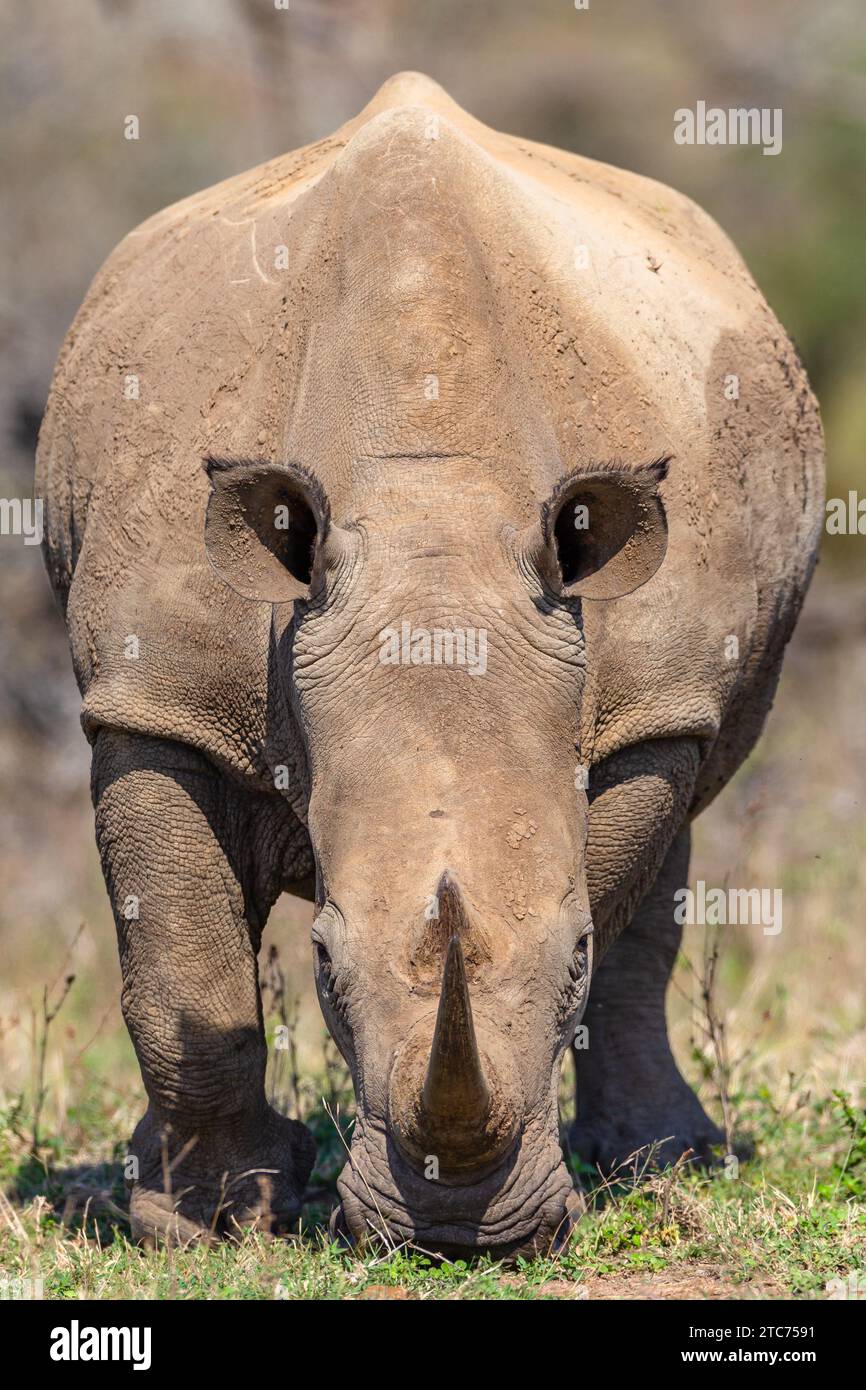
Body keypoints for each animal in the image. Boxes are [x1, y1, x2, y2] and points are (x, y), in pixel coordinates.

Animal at [37, 72, 823, 1257]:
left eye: (571, 952)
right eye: (322, 960)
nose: (458, 1230)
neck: (431, 499)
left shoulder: (640, 698)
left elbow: (610, 891)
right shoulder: (156, 699)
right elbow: (182, 971)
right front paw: (208, 1219)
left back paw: (661, 1160)